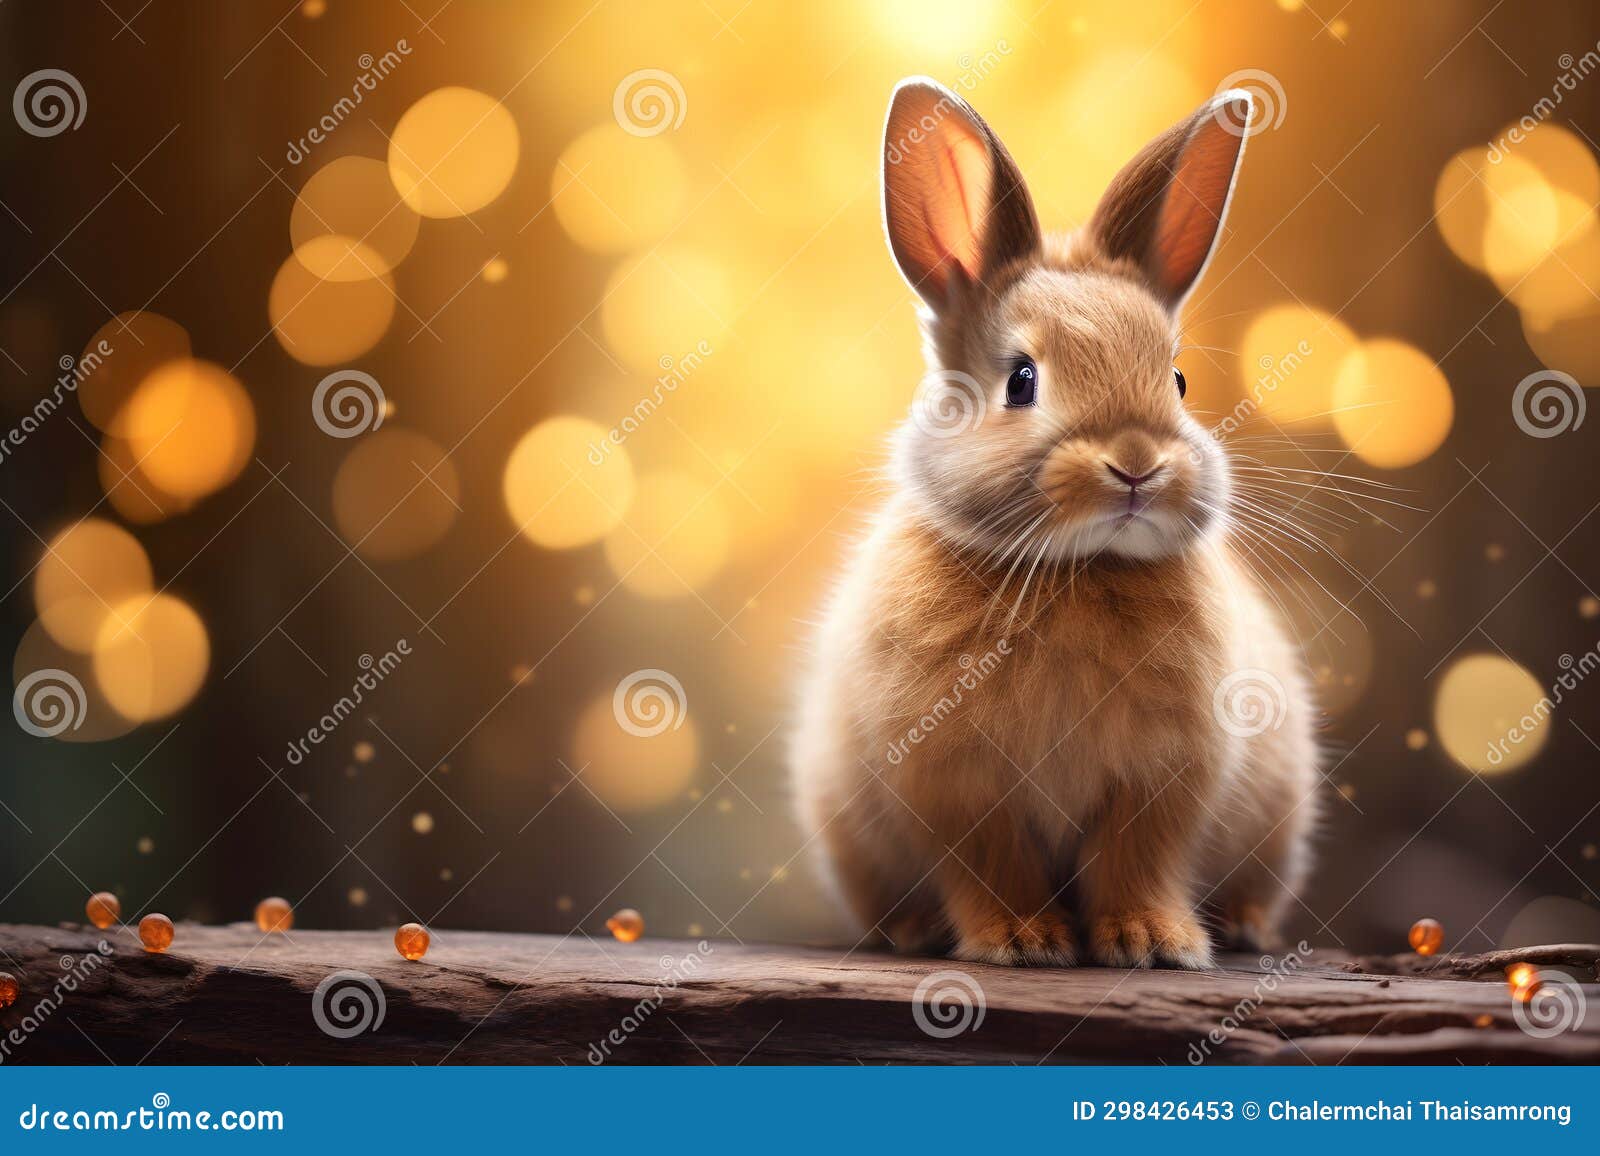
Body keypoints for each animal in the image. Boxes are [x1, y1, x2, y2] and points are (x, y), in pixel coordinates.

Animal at [790, 78, 1319, 970]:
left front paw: (1149, 943)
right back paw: (909, 932)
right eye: (1022, 380)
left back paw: (1244, 924)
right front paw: (1023, 942)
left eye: (1177, 380)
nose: (1137, 464)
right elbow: (991, 863)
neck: (1076, 568)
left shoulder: (1161, 781)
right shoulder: (957, 786)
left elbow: (1138, 861)